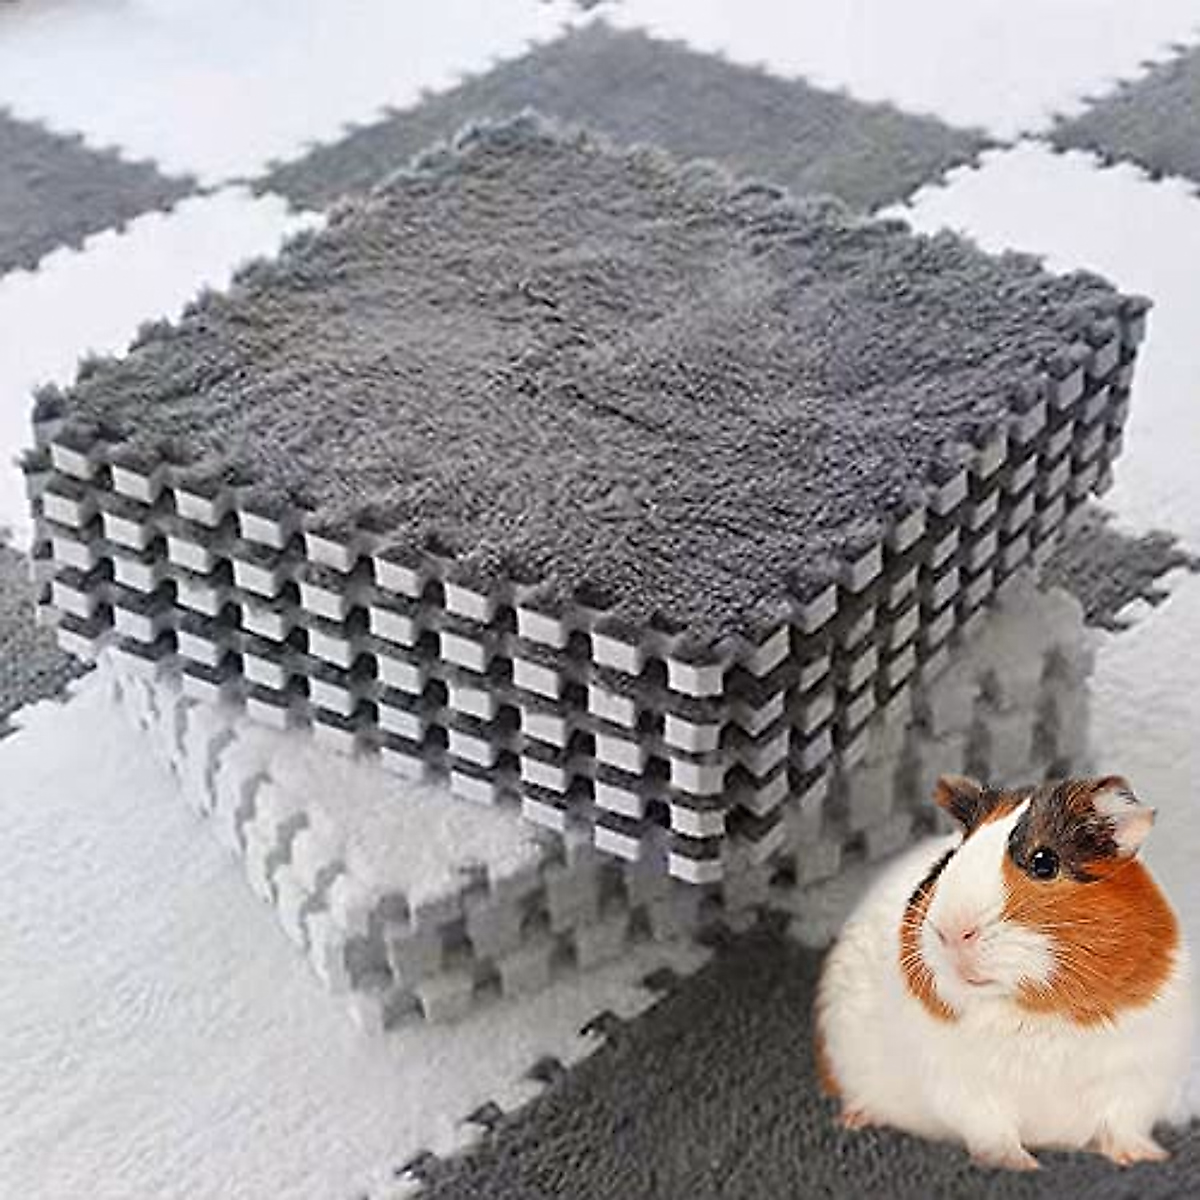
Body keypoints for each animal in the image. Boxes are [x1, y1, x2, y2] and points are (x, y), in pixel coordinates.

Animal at [814, 774, 1193, 1171]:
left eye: (1044, 862)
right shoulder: (964, 1087)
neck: (1036, 1011)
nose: (951, 931)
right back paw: (854, 1119)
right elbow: (992, 1131)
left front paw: (1146, 1157)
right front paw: (1020, 1165)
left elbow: (1122, 1124)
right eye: (951, 859)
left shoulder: (1137, 1078)